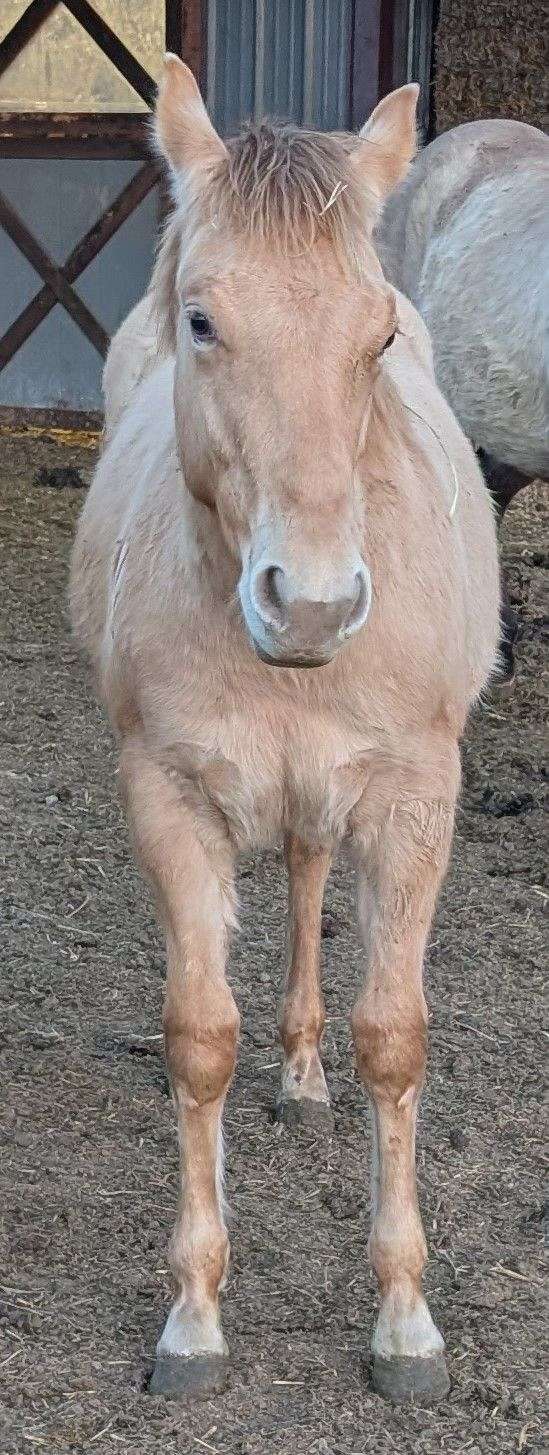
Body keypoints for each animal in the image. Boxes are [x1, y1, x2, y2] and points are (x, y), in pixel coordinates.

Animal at [70, 57, 500, 1406]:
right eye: (204, 322)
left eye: (379, 335)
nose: (310, 604)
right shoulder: (168, 797)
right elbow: (200, 1038)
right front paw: (193, 1317)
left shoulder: (414, 799)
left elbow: (394, 1041)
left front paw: (405, 1324)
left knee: (312, 876)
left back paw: (307, 1075)